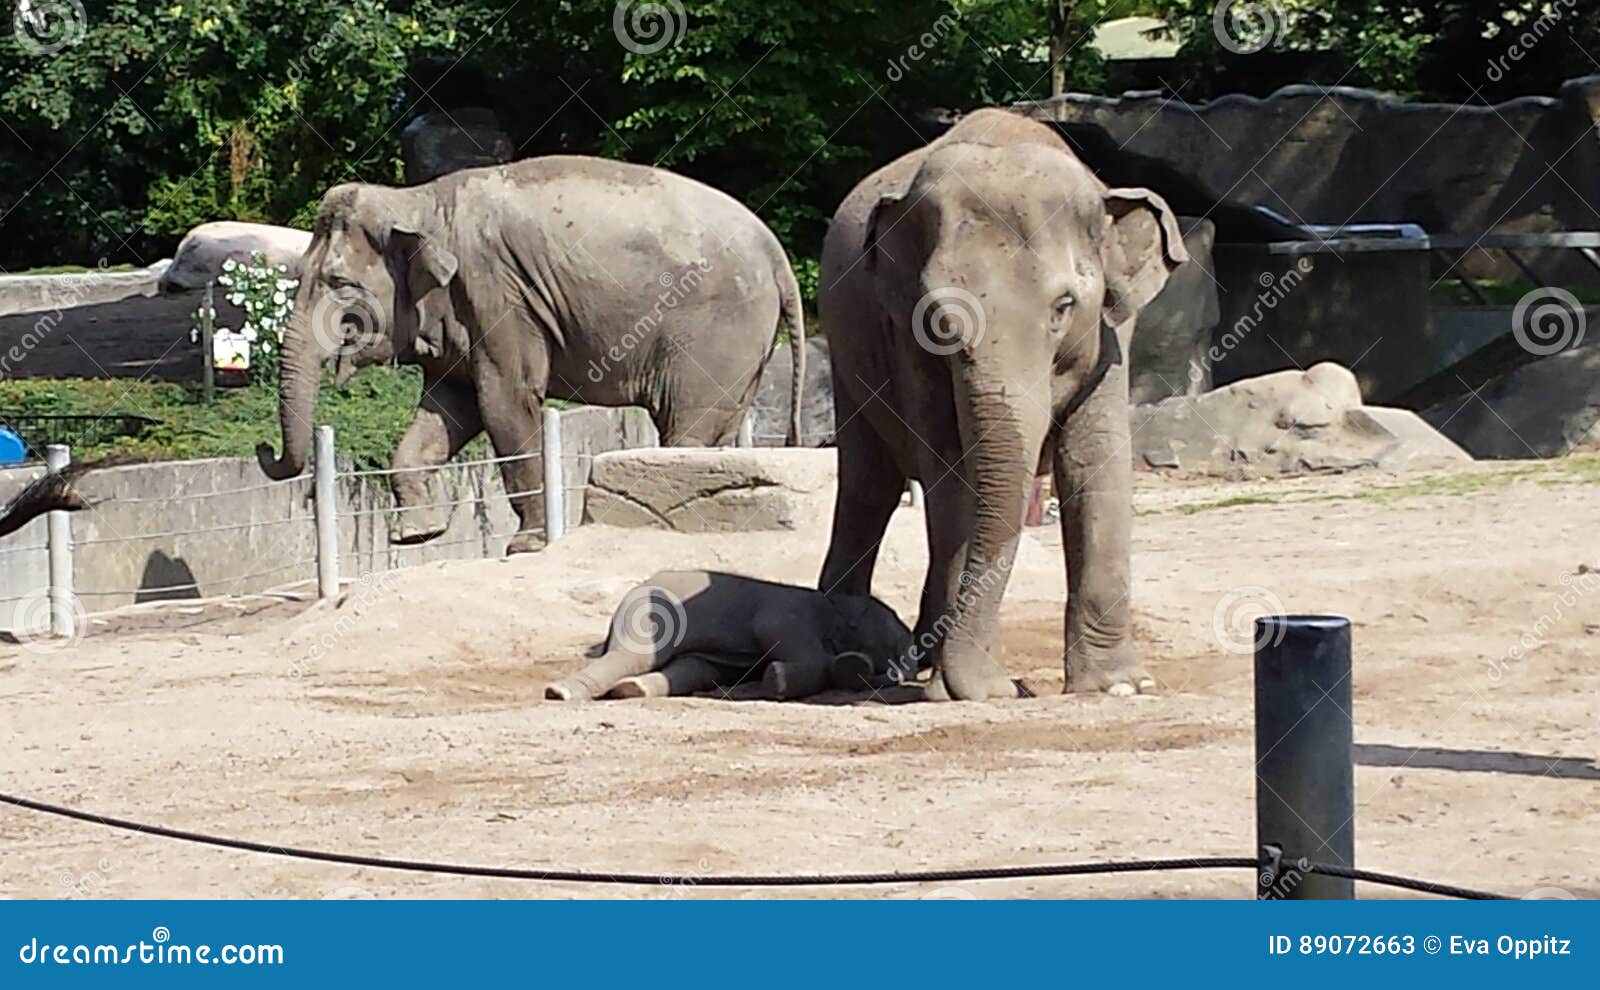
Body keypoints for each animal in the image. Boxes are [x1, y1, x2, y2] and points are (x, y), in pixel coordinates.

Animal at [255, 156, 804, 552]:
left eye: (338, 283)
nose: (263, 448)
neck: (418, 201)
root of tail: (778, 255)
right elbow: (448, 410)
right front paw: (417, 535)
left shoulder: (497, 295)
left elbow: (505, 404)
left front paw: (526, 546)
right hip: (743, 349)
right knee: (716, 433)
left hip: (716, 332)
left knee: (686, 426)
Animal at [544, 570, 913, 702]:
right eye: (896, 627)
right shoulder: (787, 613)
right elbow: (807, 654)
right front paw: (776, 681)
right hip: (646, 615)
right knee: (634, 656)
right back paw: (560, 693)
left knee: (691, 669)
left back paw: (632, 691)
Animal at [817, 108, 1187, 701]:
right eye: (938, 319)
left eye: (1064, 307)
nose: (1001, 689)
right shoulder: (906, 338)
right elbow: (950, 468)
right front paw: (965, 688)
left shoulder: (1111, 336)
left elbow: (1094, 461)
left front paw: (1118, 687)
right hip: (846, 357)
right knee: (869, 488)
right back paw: (860, 660)